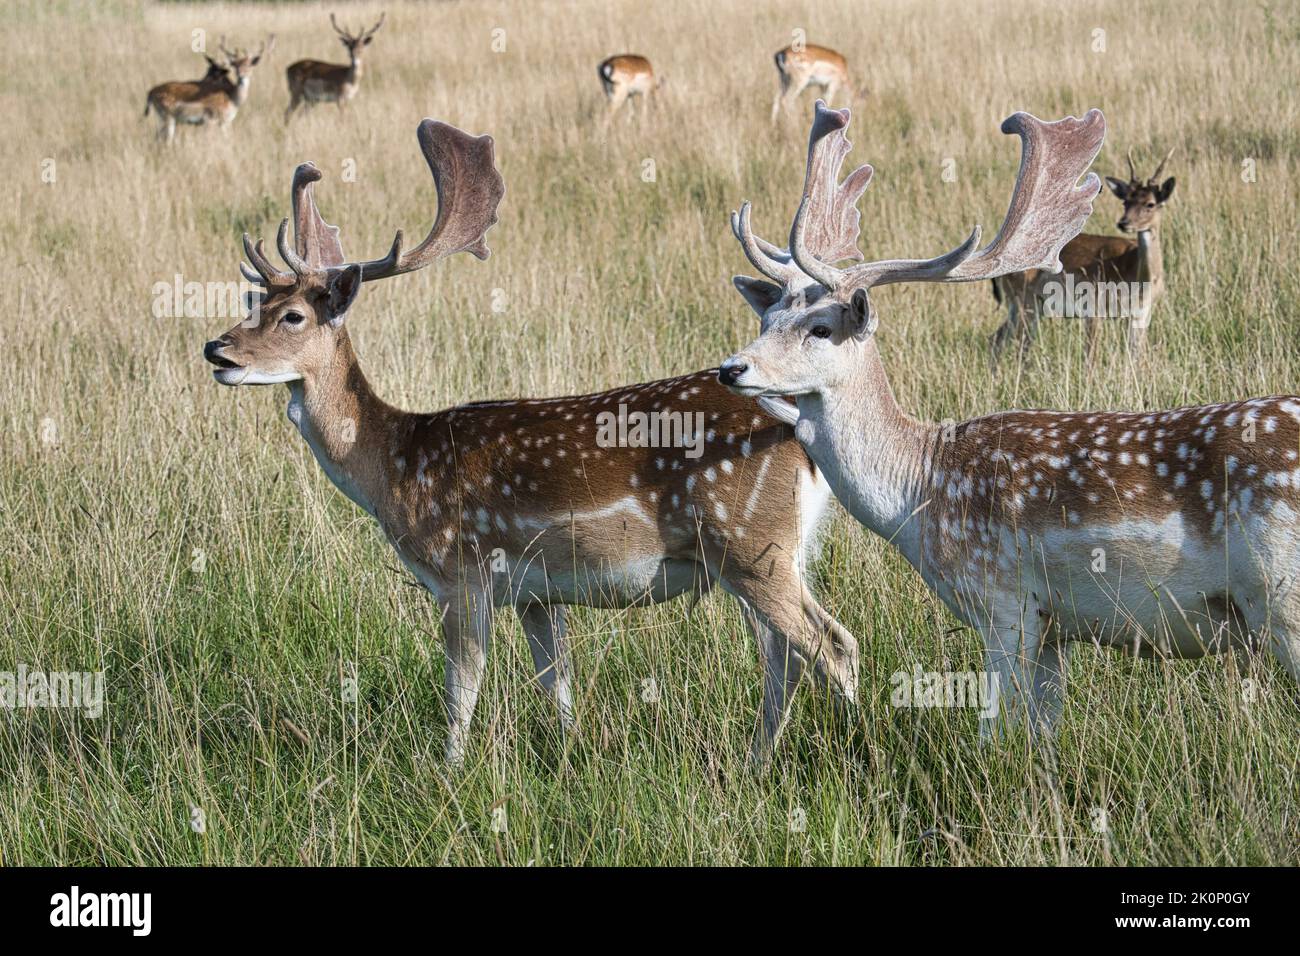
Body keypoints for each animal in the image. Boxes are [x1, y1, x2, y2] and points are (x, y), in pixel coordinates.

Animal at [143, 36, 273, 142]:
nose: (241, 76)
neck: (232, 98)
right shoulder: (210, 120)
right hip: (167, 117)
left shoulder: (224, 122)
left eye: (249, 65)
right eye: (235, 65)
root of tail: (150, 92)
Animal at [202, 119, 858, 767]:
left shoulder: (461, 571)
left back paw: (855, 746)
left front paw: (450, 770)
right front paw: (571, 755)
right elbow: (556, 682)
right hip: (768, 552)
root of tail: (800, 433)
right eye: (254, 301)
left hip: (747, 541)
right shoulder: (536, 593)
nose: (217, 350)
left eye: (293, 316)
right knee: (785, 655)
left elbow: (462, 689)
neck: (395, 464)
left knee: (832, 644)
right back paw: (758, 760)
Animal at [990, 148, 1176, 360]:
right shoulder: (1094, 307)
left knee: (997, 338)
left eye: (1151, 204)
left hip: (1021, 304)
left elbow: (1136, 354)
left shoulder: (1141, 314)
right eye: (1125, 201)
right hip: (1025, 302)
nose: (1124, 222)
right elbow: (1091, 356)